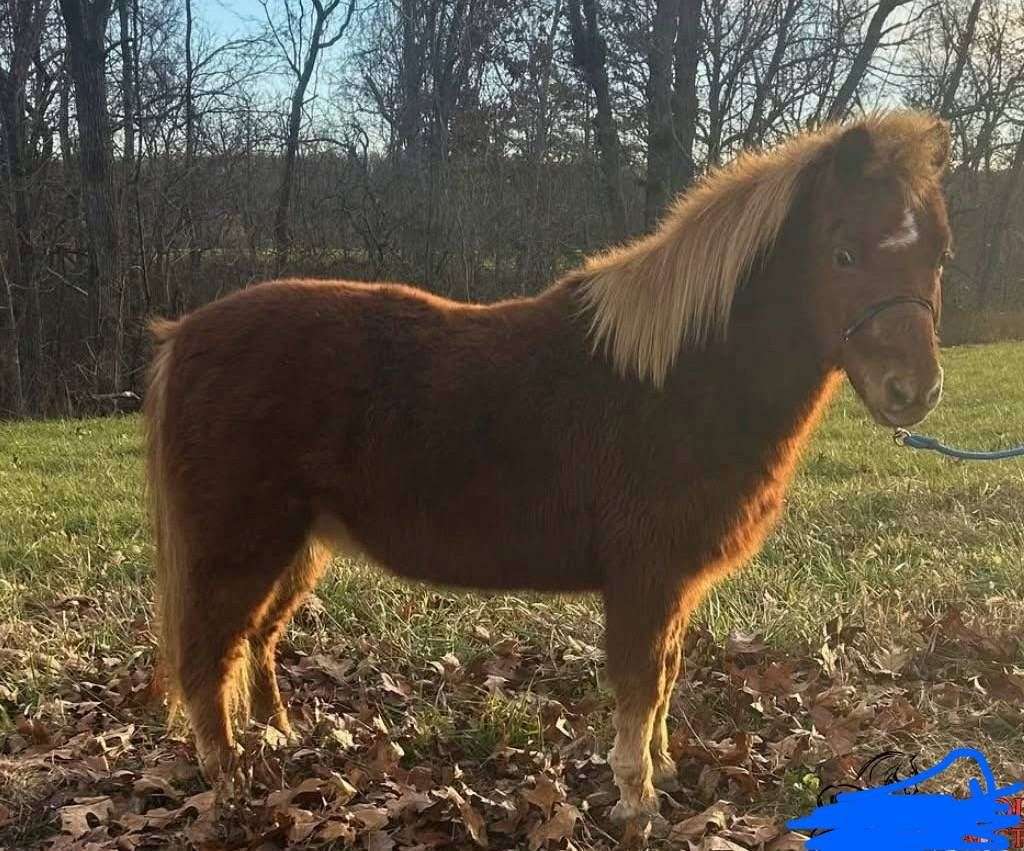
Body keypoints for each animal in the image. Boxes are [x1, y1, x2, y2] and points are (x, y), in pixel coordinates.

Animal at [145, 111, 951, 820]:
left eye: (939, 254)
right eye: (843, 253)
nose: (912, 392)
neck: (676, 383)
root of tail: (186, 334)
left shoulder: (676, 584)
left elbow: (664, 676)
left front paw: (662, 769)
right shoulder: (644, 578)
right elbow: (639, 684)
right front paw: (636, 799)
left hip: (301, 546)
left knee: (257, 638)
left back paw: (277, 735)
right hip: (239, 547)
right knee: (209, 652)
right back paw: (228, 777)